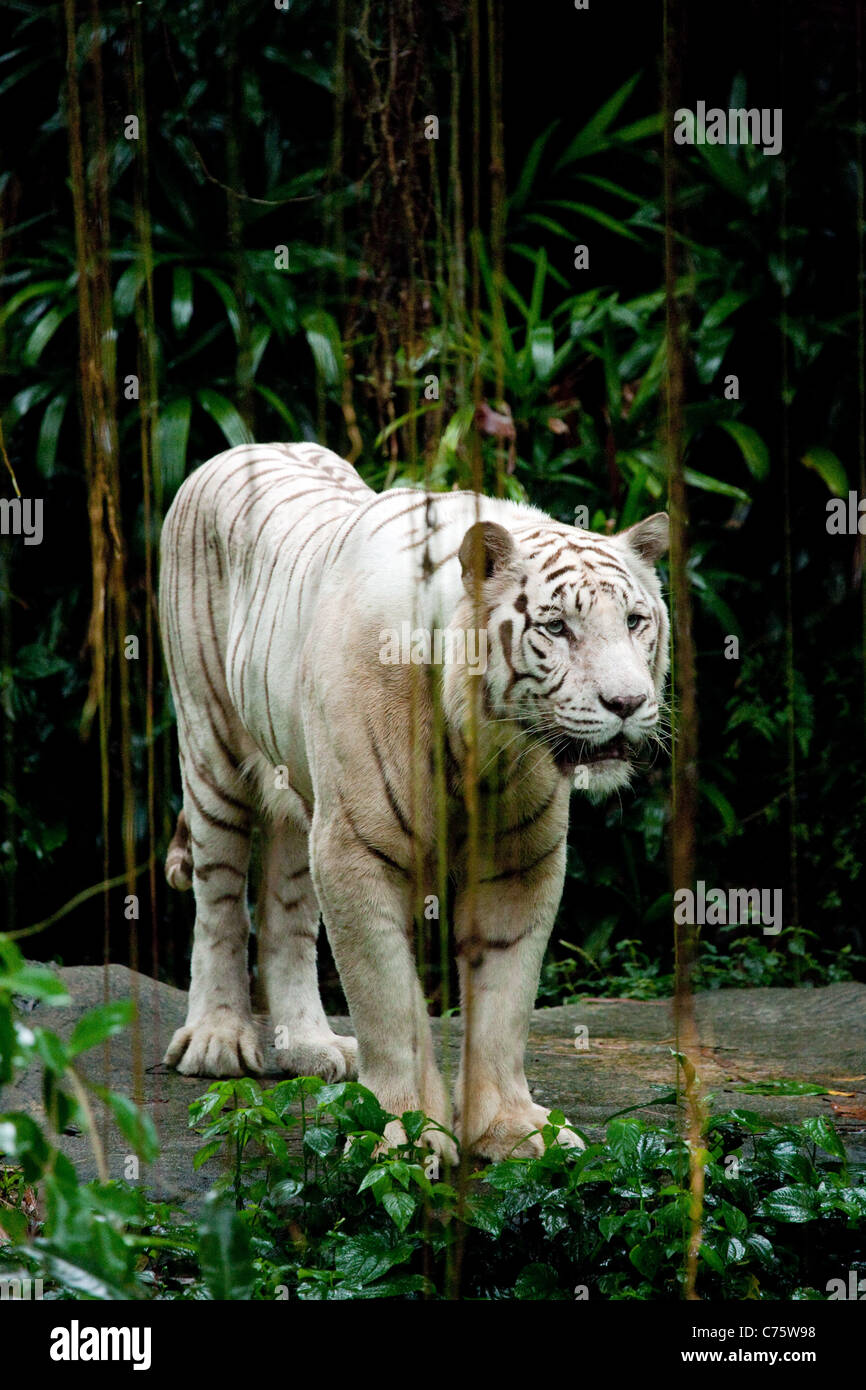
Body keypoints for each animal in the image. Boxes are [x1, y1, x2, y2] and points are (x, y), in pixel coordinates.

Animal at [159, 442, 669, 1163]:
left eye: (634, 621)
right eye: (555, 627)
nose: (627, 703)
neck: (485, 747)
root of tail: (243, 448)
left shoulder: (520, 862)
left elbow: (505, 1002)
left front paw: (512, 1129)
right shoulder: (356, 848)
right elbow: (389, 1004)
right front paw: (403, 1136)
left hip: (299, 795)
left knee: (286, 915)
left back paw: (311, 1047)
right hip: (212, 749)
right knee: (220, 900)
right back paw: (217, 1042)